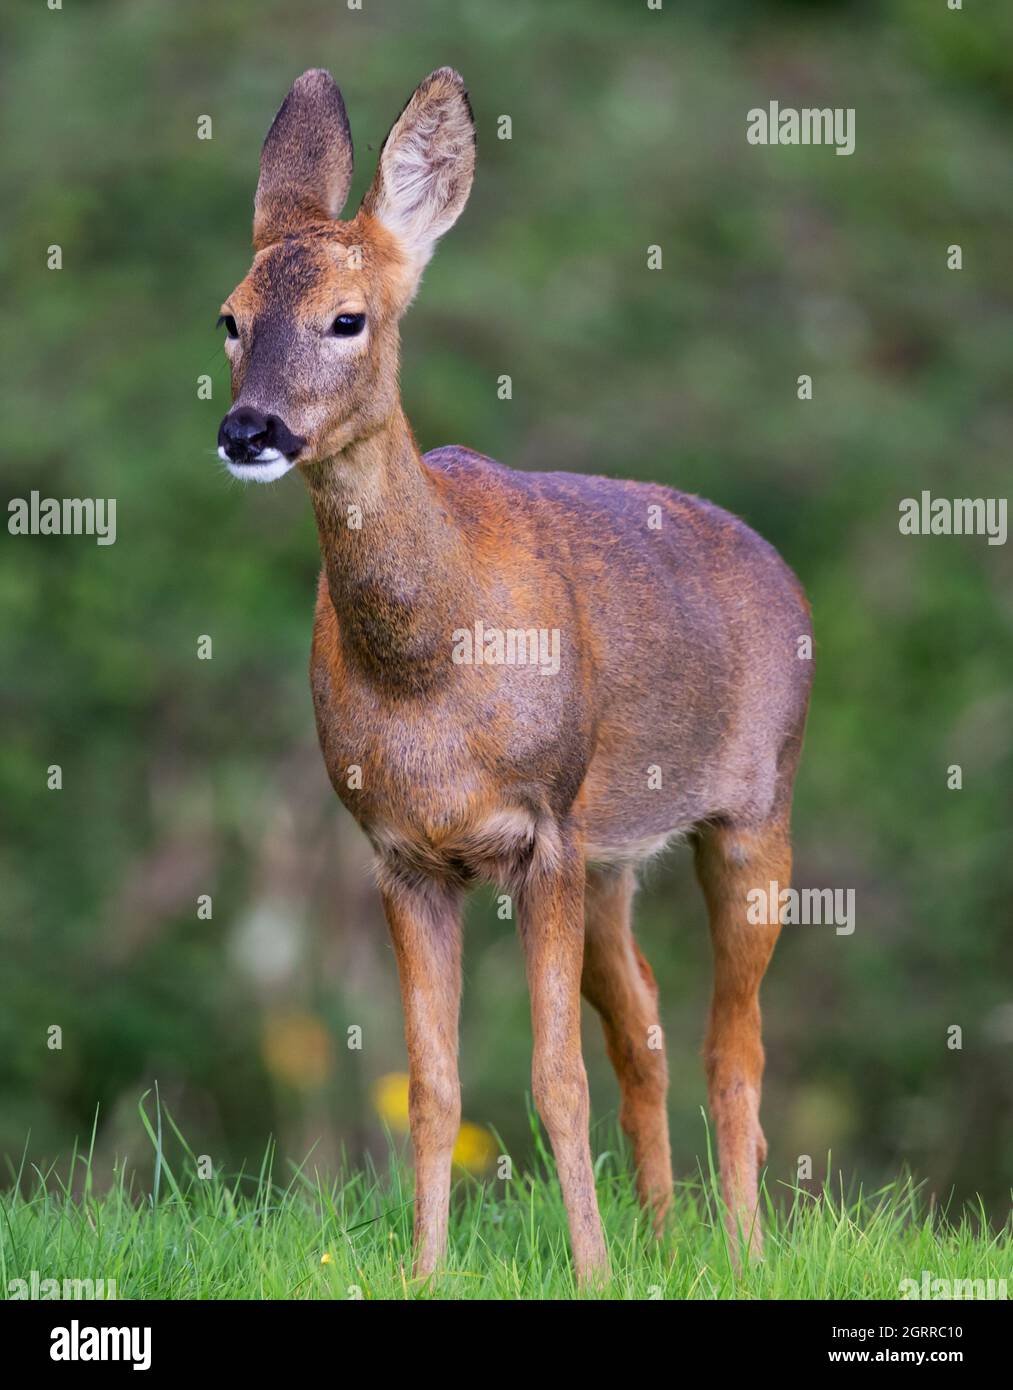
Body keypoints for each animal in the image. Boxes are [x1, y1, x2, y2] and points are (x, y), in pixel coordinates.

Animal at [216, 67, 813, 1286]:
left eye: (347, 317)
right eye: (231, 317)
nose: (248, 429)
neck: (433, 666)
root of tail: (787, 577)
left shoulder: (544, 826)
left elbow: (553, 1078)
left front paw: (589, 1275)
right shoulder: (405, 852)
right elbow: (433, 1087)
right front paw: (423, 1271)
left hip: (753, 807)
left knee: (735, 1043)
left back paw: (738, 1253)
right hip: (618, 857)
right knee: (646, 1028)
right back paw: (664, 1235)